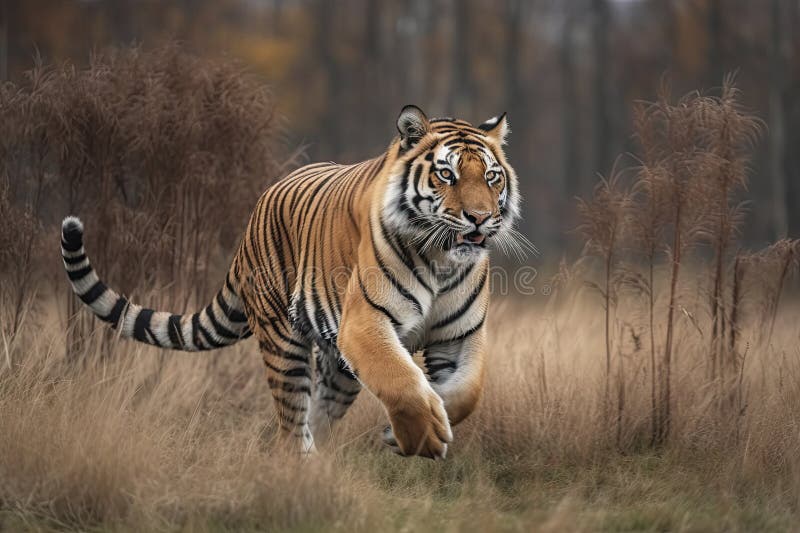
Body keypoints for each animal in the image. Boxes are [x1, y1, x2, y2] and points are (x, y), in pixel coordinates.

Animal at [60, 105, 524, 459]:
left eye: (491, 177)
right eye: (446, 175)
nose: (479, 218)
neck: (442, 260)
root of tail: (255, 212)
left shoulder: (463, 335)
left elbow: (466, 392)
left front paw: (412, 429)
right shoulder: (366, 324)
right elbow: (401, 381)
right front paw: (423, 437)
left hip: (339, 369)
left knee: (319, 413)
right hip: (284, 342)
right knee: (292, 422)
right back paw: (304, 469)